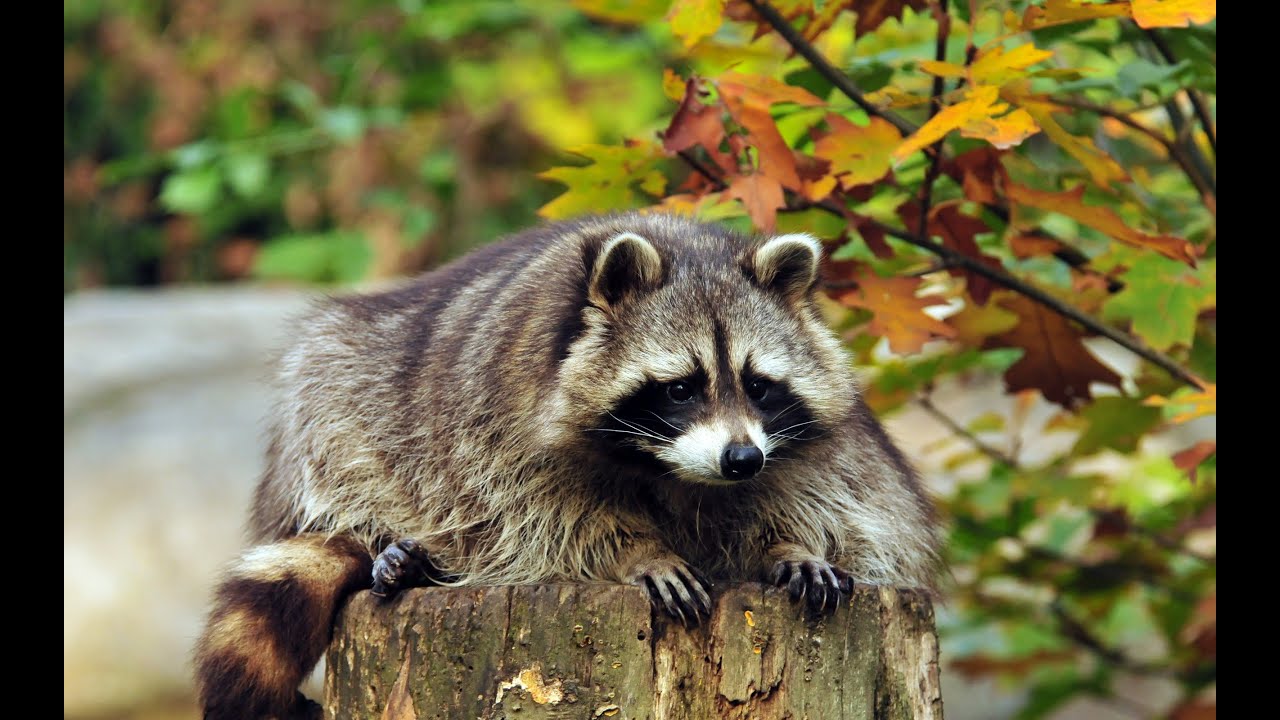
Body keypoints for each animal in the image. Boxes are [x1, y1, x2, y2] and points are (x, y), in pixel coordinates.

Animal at [194, 212, 941, 719]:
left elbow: (843, 503)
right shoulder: (500, 431)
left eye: (759, 385)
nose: (740, 458)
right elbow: (543, 520)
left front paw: (790, 544)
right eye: (680, 388)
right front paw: (635, 551)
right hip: (338, 389)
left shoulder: (817, 446)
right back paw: (400, 552)